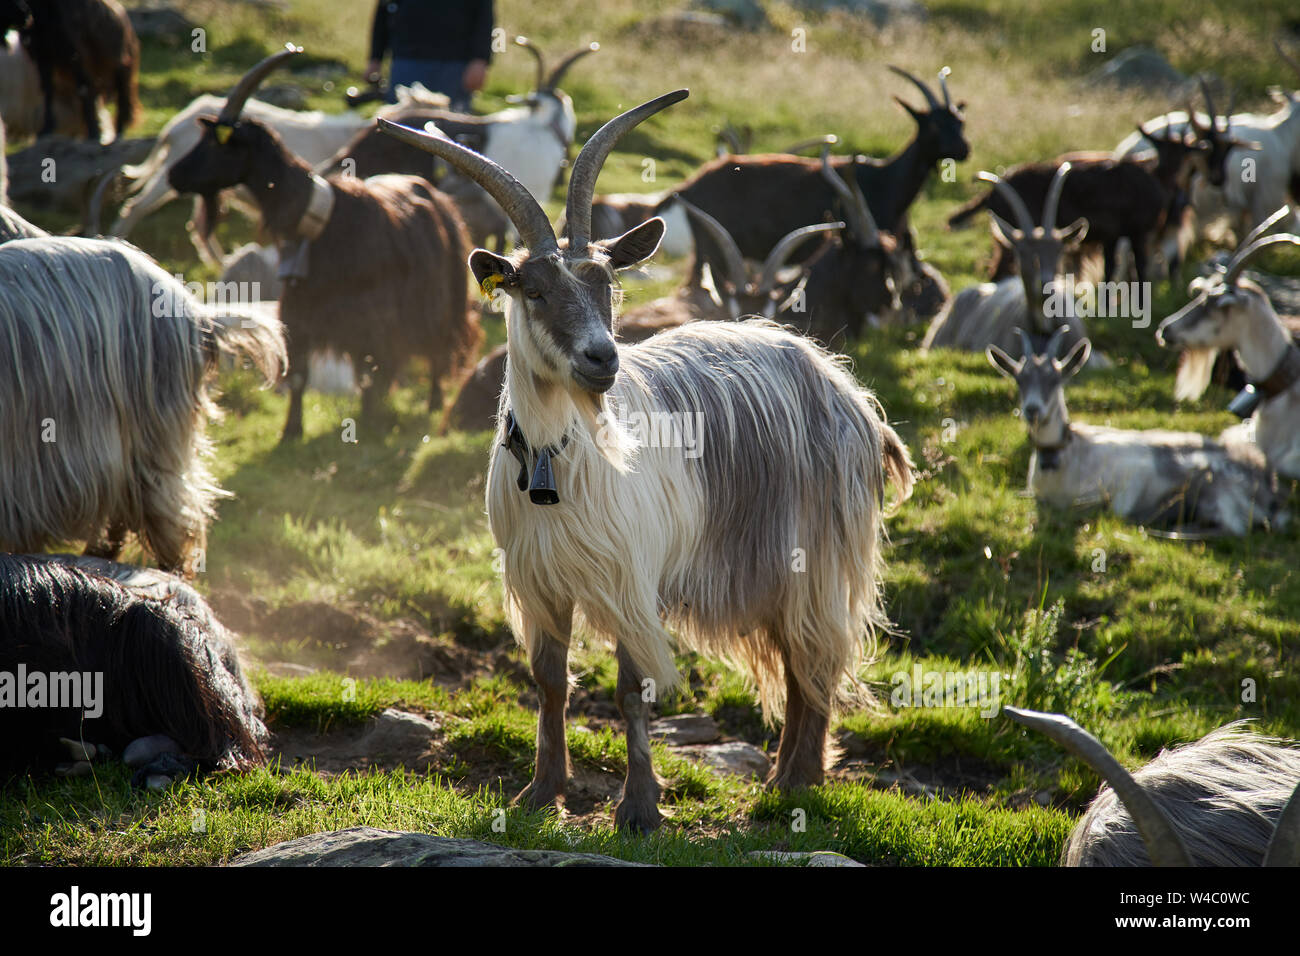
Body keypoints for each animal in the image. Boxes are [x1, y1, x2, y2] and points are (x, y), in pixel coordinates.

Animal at [0, 0, 138, 142]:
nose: (26, 14)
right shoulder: (44, 54)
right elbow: (48, 90)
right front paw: (46, 128)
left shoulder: (77, 54)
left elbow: (83, 90)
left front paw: (93, 133)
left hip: (121, 67)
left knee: (122, 102)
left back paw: (117, 134)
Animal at [167, 46, 480, 442]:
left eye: (215, 145)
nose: (173, 175)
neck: (320, 224)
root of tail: (435, 196)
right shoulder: (299, 317)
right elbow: (300, 376)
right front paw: (291, 431)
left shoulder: (371, 321)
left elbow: (368, 376)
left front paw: (369, 424)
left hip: (444, 296)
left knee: (440, 348)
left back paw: (435, 402)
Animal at [379, 90, 915, 832]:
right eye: (533, 289)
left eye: (606, 283)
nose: (602, 358)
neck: (560, 462)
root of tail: (845, 389)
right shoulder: (541, 582)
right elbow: (550, 683)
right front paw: (542, 791)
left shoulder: (628, 578)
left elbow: (631, 690)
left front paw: (638, 807)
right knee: (796, 658)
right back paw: (786, 776)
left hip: (813, 554)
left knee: (816, 656)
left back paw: (795, 781)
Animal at [988, 327, 1287, 536]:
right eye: (1019, 379)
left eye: (1056, 379)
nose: (1032, 410)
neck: (1068, 457)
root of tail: (1267, 483)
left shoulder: (1128, 477)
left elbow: (1111, 508)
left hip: (1219, 488)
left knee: (1233, 528)